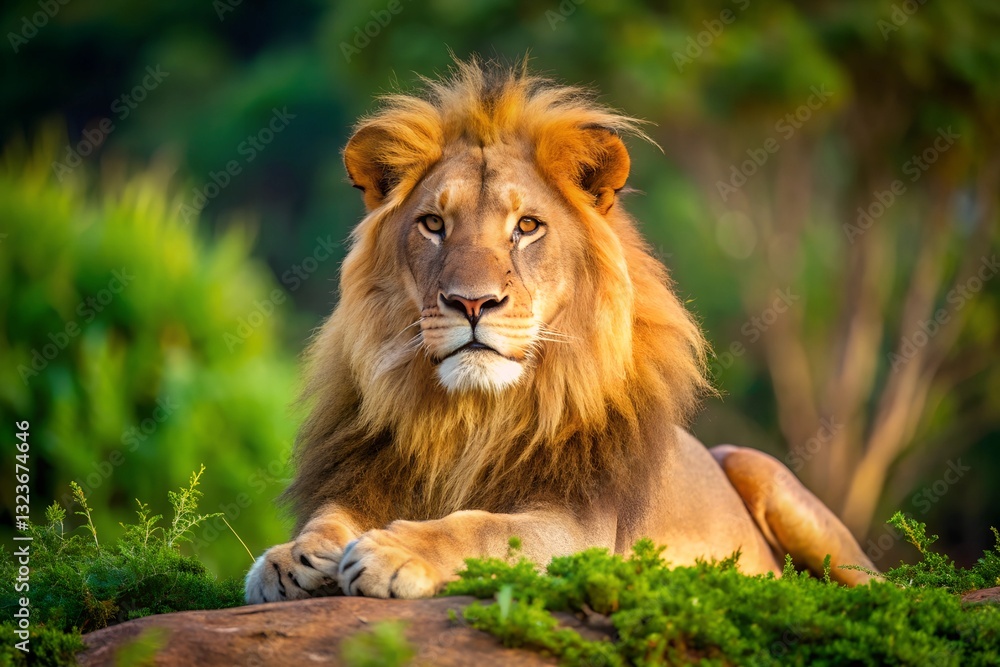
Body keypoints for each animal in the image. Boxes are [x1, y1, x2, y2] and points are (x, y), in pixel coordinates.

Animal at [245, 58, 876, 604]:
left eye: (527, 227)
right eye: (432, 224)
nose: (472, 302)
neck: (472, 416)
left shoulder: (581, 530)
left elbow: (481, 528)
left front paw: (397, 551)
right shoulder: (362, 478)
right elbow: (329, 516)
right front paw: (290, 558)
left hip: (759, 469)